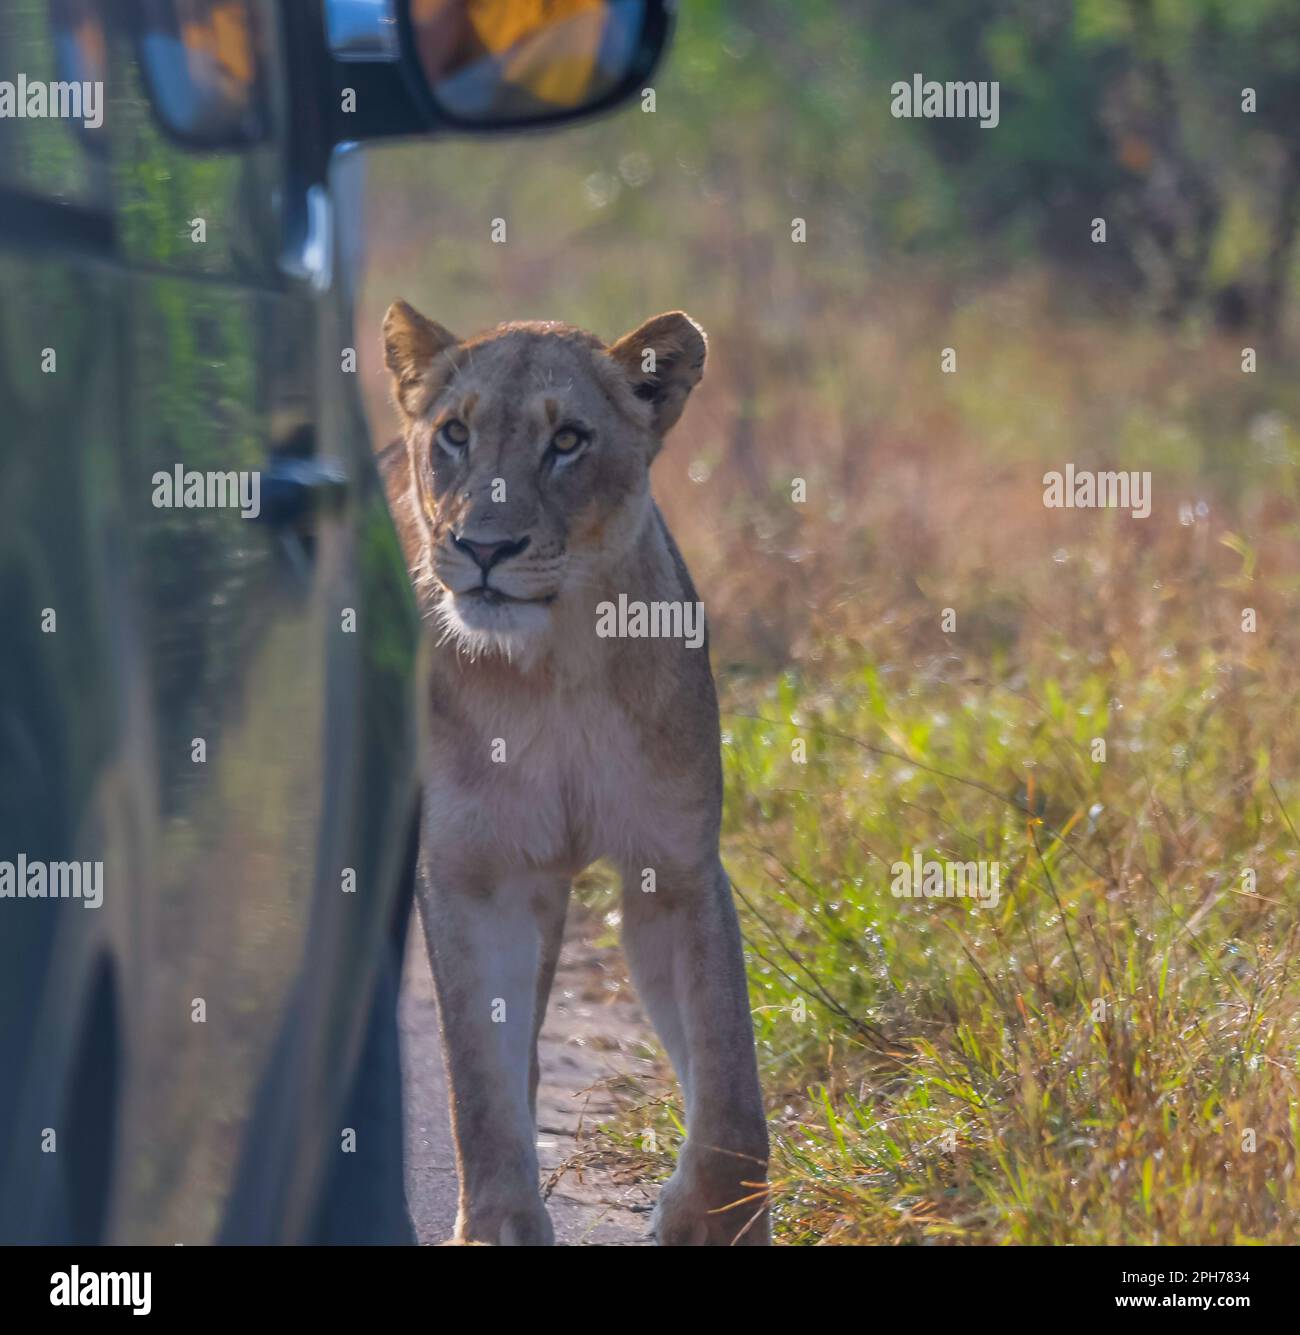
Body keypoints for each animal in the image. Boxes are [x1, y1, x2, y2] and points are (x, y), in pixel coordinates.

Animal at [379, 300, 770, 1246]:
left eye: (568, 441)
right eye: (454, 434)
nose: (483, 547)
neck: (554, 664)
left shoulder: (675, 866)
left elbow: (731, 1082)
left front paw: (712, 1218)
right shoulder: (473, 874)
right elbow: (478, 1084)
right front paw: (500, 1225)